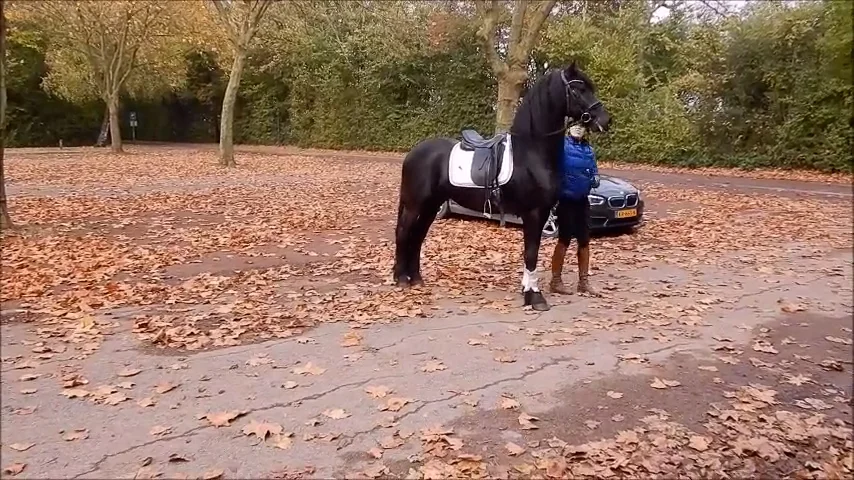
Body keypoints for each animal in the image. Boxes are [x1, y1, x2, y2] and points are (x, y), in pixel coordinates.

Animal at [392, 62, 611, 312]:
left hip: (431, 205)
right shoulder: (534, 213)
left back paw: (416, 279)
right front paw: (535, 298)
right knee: (404, 232)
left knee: (417, 236)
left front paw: (527, 292)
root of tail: (414, 152)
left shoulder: (542, 213)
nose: (605, 120)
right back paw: (401, 279)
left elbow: (531, 253)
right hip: (415, 204)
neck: (531, 153)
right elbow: (531, 253)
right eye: (578, 89)